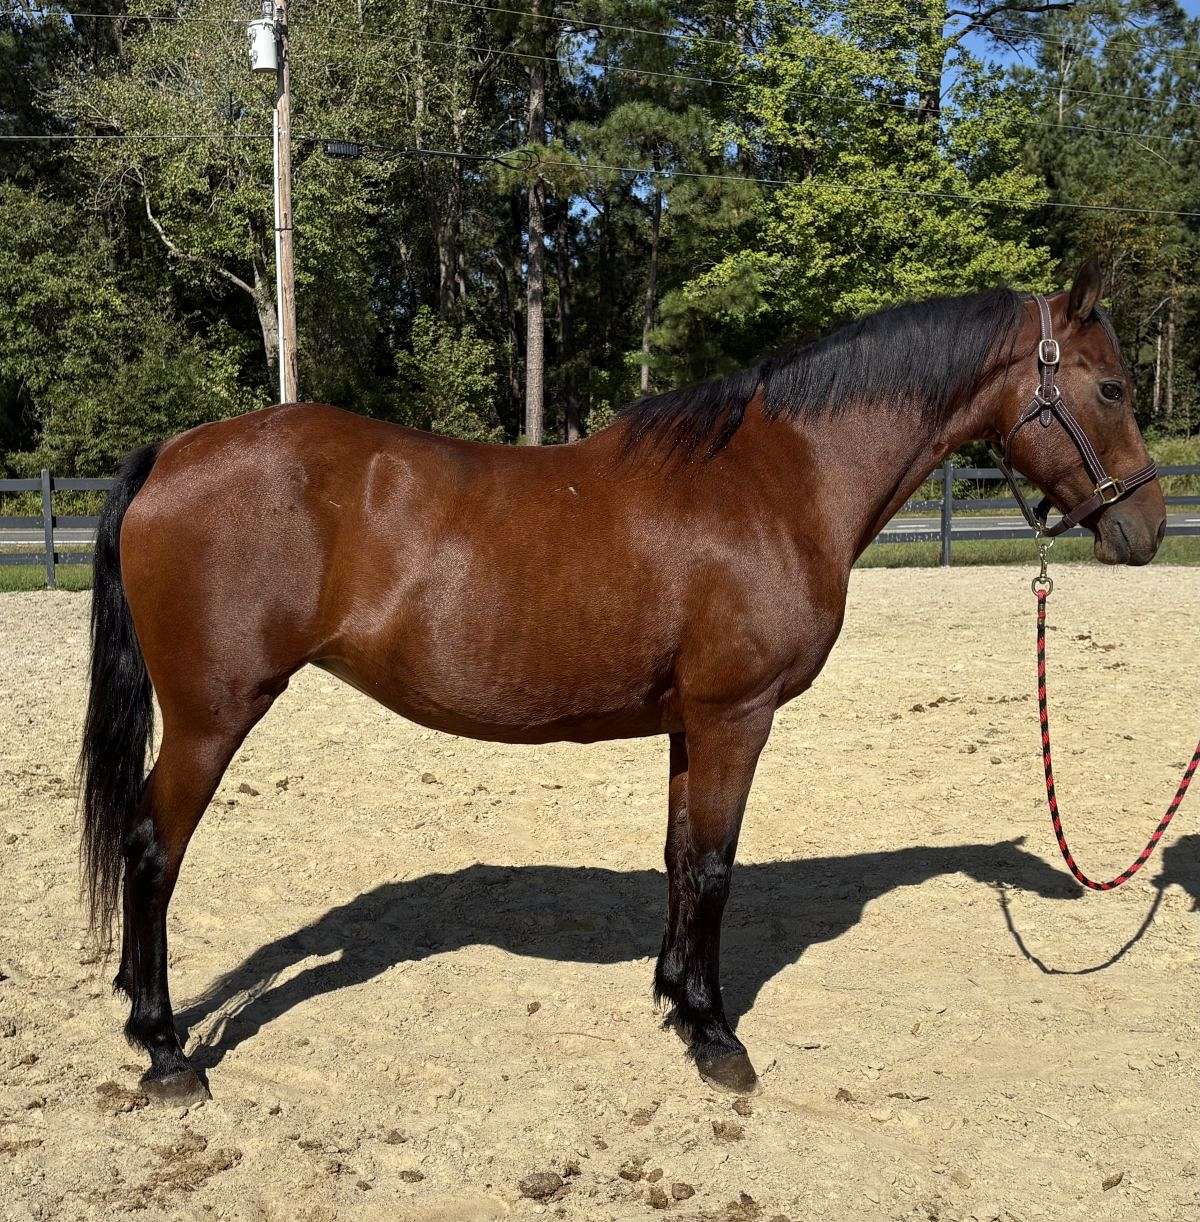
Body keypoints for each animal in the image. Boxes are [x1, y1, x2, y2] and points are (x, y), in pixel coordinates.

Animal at [79, 260, 1166, 1105]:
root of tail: (174, 452)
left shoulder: (694, 723)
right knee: (152, 850)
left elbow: (683, 857)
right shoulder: (737, 717)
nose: (1146, 528)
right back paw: (166, 1050)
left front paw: (680, 1007)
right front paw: (720, 1038)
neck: (777, 478)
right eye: (1112, 389)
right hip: (212, 716)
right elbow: (717, 865)